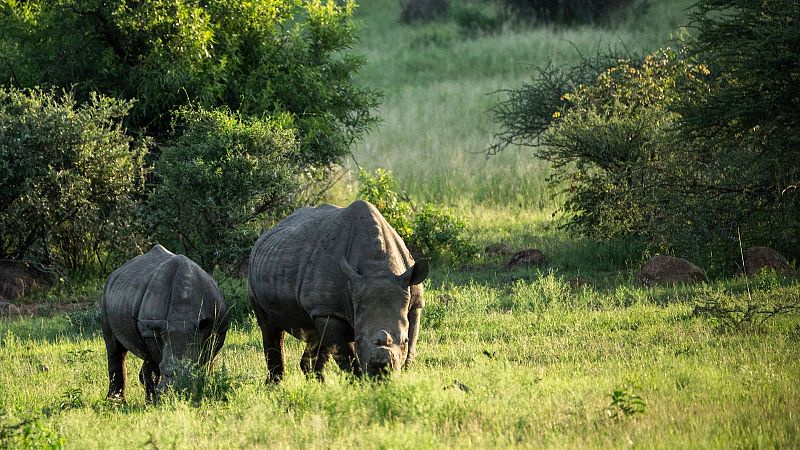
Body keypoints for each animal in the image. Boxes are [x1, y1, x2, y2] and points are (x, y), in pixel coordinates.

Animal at [101, 245, 229, 402]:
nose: (171, 393)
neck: (183, 314)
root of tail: (114, 273)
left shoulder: (216, 330)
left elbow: (208, 361)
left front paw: (204, 384)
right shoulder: (152, 332)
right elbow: (154, 364)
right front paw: (154, 401)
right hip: (106, 296)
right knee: (115, 347)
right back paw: (117, 401)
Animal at [248, 200, 428, 381]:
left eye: (404, 341)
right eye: (358, 340)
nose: (382, 373)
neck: (379, 270)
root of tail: (266, 233)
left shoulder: (414, 302)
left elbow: (412, 343)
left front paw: (402, 373)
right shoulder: (328, 310)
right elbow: (347, 357)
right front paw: (361, 383)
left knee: (316, 336)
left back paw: (318, 383)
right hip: (257, 274)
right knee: (269, 328)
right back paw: (277, 384)